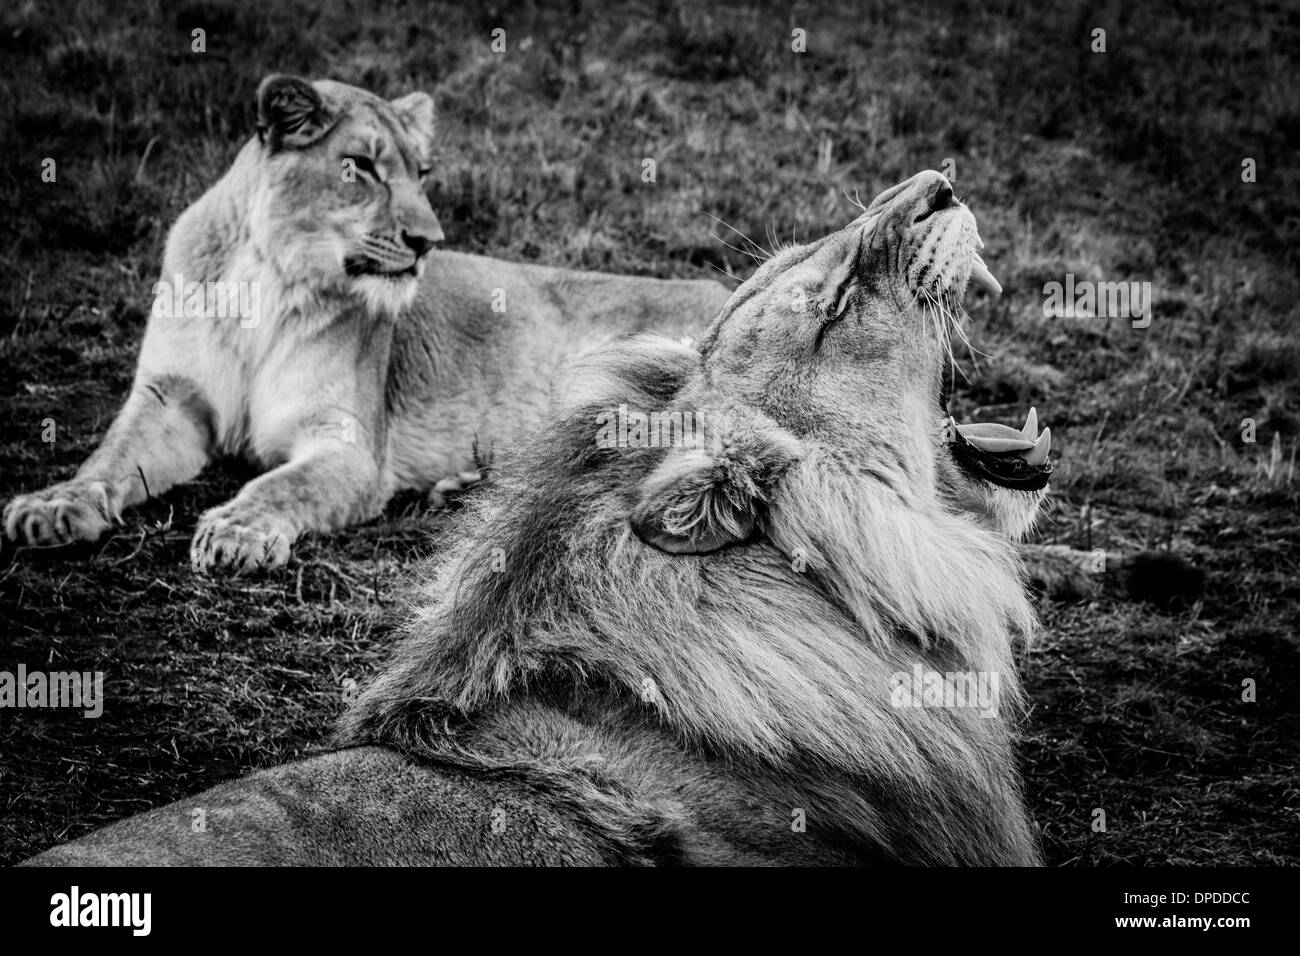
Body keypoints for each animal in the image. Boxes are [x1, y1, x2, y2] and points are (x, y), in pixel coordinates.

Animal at [2, 74, 728, 574]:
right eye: (362, 166)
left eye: (422, 172)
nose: (428, 241)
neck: (266, 284)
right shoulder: (170, 398)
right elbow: (110, 453)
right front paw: (52, 507)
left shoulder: (348, 443)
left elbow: (280, 484)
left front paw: (236, 531)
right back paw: (464, 487)